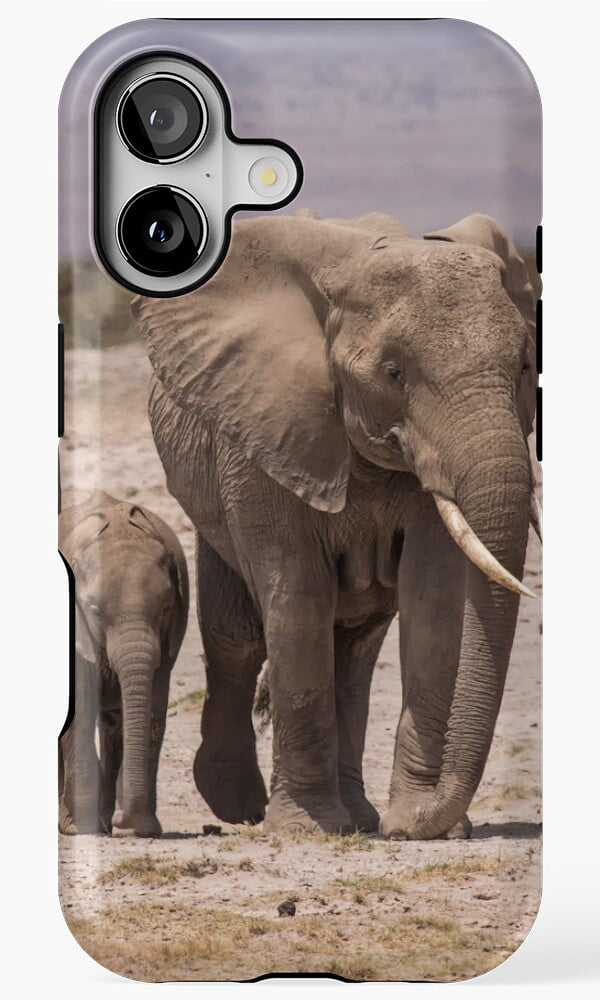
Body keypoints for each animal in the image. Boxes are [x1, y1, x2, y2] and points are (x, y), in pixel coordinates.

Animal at [58, 491, 188, 837]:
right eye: (95, 611)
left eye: (165, 609)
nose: (121, 820)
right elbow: (81, 707)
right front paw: (78, 830)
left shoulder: (170, 636)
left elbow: (154, 710)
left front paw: (143, 829)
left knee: (114, 724)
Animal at [131, 211, 539, 840]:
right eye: (393, 373)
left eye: (523, 365)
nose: (421, 825)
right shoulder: (264, 436)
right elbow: (296, 596)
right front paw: (307, 828)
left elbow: (434, 600)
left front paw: (415, 824)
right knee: (239, 638)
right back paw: (243, 807)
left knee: (354, 652)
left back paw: (359, 818)